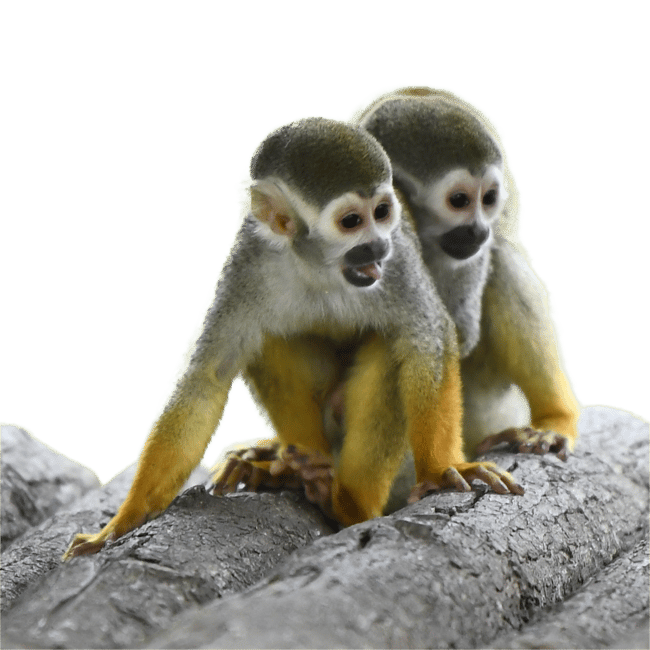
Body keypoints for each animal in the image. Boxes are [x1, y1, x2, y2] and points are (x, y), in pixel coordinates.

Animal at [63, 116, 523, 559]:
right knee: (268, 340)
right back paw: (298, 470)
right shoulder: (249, 260)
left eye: (382, 212)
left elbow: (428, 339)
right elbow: (208, 378)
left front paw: (442, 471)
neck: (317, 264)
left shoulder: (399, 262)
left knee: (389, 346)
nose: (377, 246)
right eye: (352, 221)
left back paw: (347, 506)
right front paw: (125, 519)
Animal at [352, 85, 580, 460]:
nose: (479, 230)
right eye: (459, 201)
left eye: (488, 199)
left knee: (502, 264)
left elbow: (457, 333)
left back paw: (555, 419)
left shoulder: (471, 256)